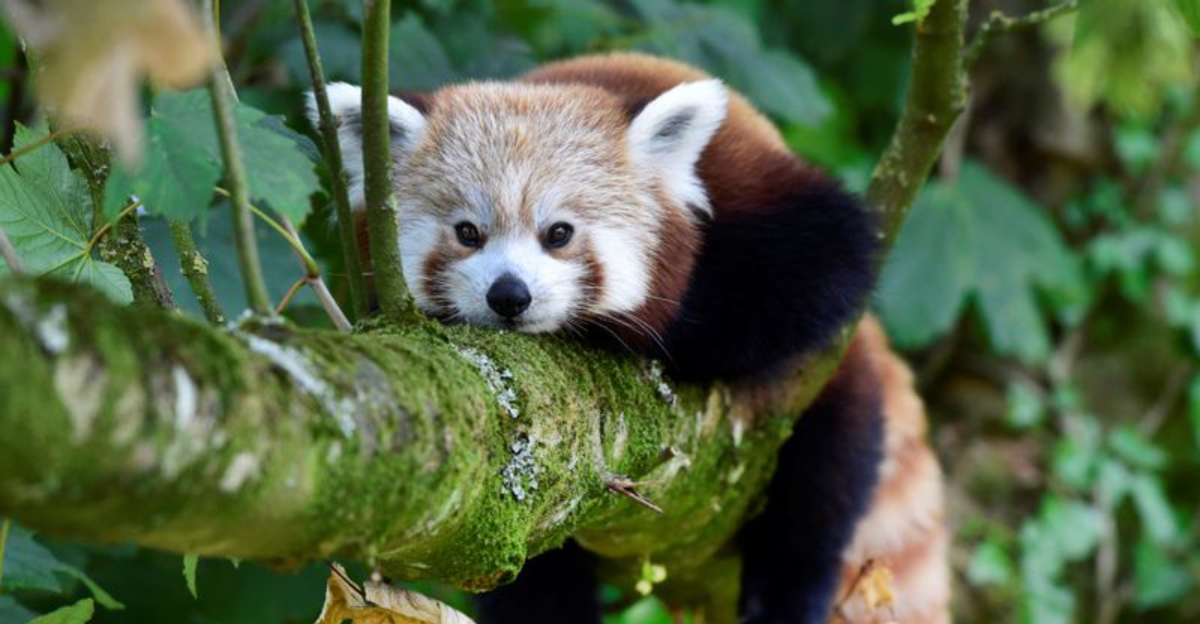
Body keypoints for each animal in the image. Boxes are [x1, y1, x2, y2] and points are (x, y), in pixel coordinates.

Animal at [310, 52, 950, 624]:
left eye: (559, 233)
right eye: (468, 233)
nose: (509, 295)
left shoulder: (758, 195)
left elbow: (836, 261)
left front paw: (652, 328)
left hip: (832, 384)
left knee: (820, 491)